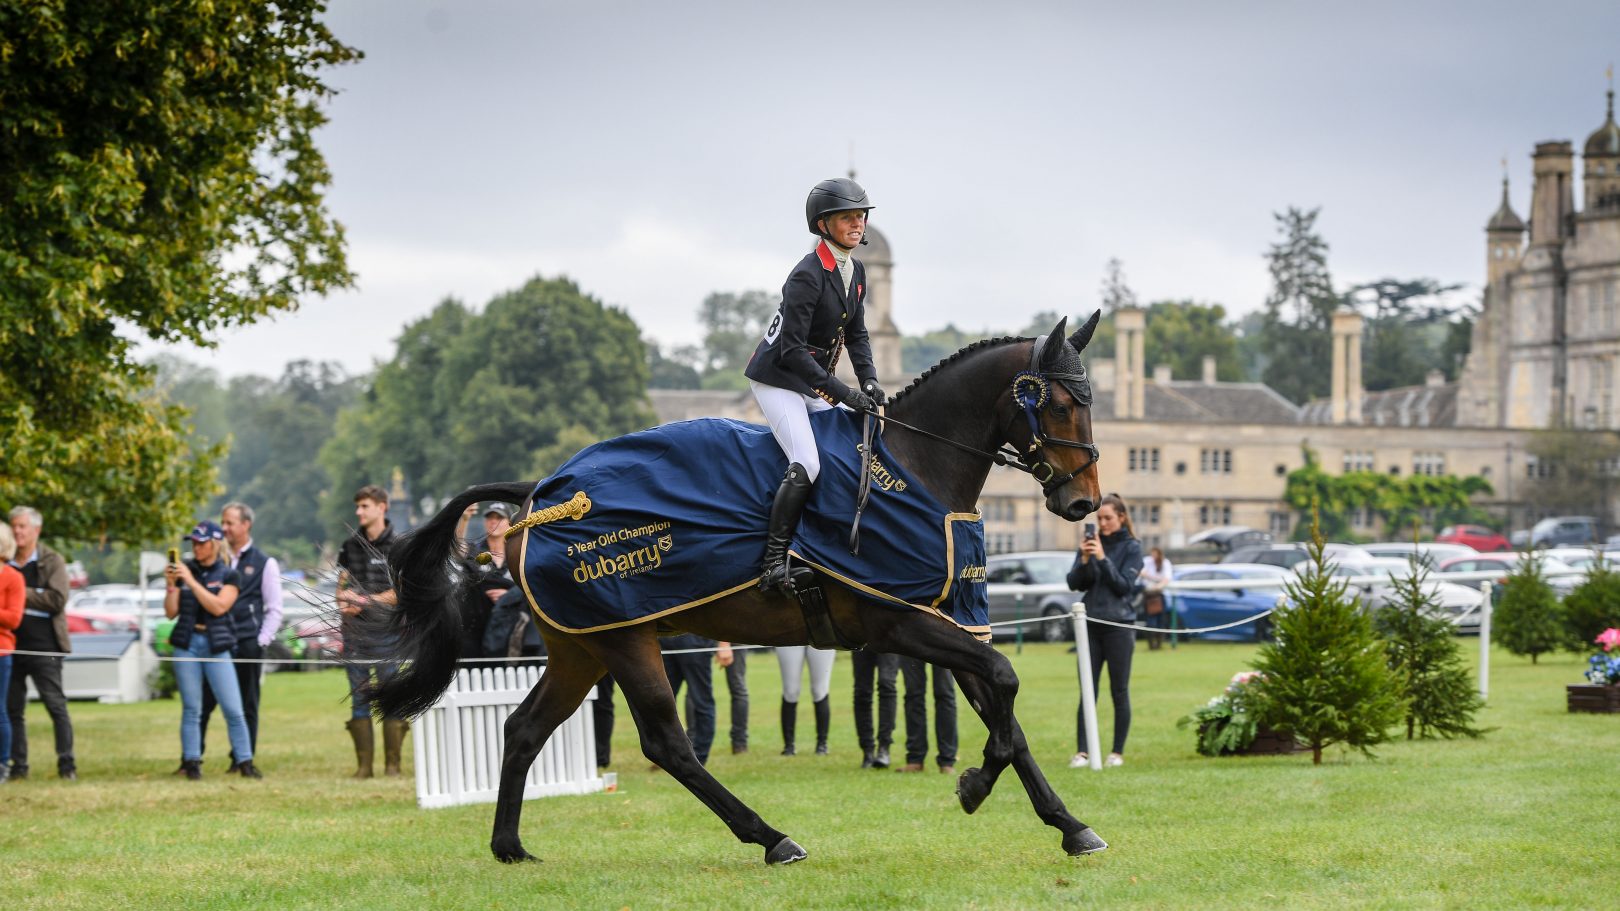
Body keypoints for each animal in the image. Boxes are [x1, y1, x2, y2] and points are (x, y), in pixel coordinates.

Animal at [372, 313, 1108, 865]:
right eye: (1058, 402)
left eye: (1093, 402)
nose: (1082, 504)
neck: (915, 466)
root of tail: (541, 492)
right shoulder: (900, 624)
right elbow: (1005, 682)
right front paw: (977, 784)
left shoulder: (947, 623)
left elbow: (1005, 709)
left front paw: (1067, 823)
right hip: (625, 639)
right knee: (667, 744)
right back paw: (771, 837)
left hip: (581, 646)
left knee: (524, 727)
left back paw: (509, 845)